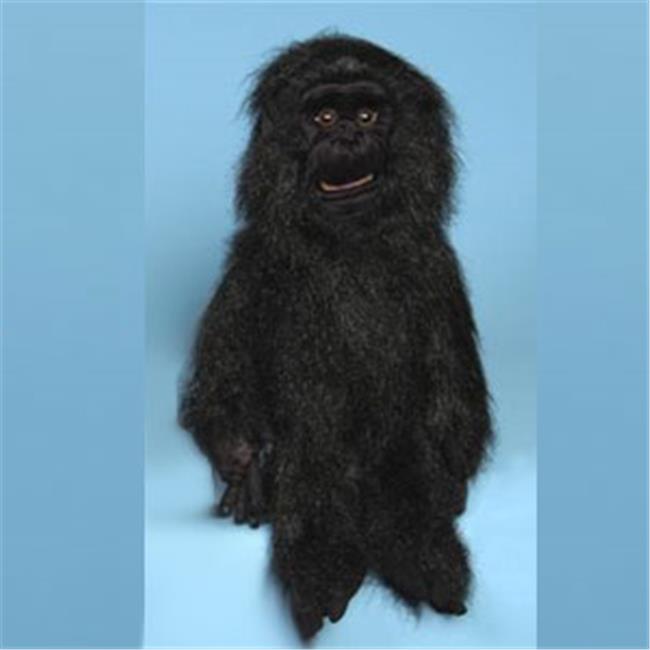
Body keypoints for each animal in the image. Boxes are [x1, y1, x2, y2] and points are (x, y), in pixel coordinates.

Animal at [179, 34, 493, 640]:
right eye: (323, 117)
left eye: (368, 115)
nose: (347, 135)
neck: (348, 246)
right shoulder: (253, 261)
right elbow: (224, 384)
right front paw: (244, 462)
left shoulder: (436, 267)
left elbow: (453, 397)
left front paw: (451, 483)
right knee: (315, 479)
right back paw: (323, 586)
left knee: (409, 478)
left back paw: (434, 573)